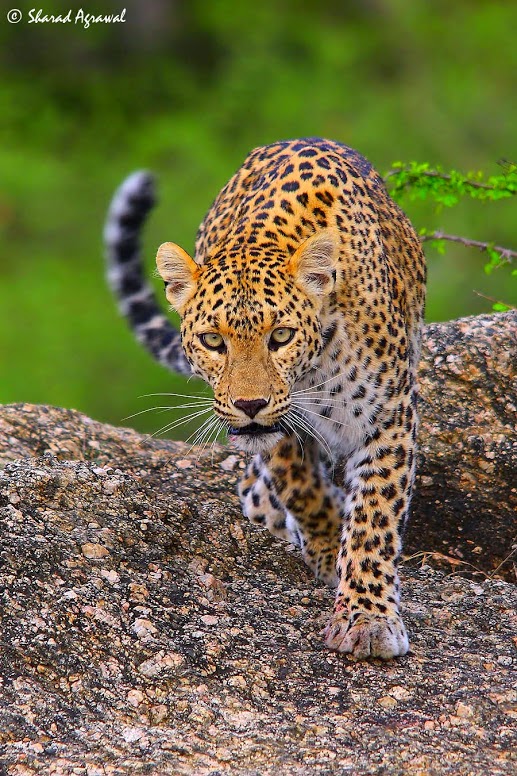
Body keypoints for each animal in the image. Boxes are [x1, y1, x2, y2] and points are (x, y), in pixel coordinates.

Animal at [104, 138, 426, 660]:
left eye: (281, 336)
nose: (249, 404)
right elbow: (301, 487)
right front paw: (327, 540)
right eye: (213, 341)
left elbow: (375, 516)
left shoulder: (389, 414)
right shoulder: (279, 432)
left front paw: (368, 617)